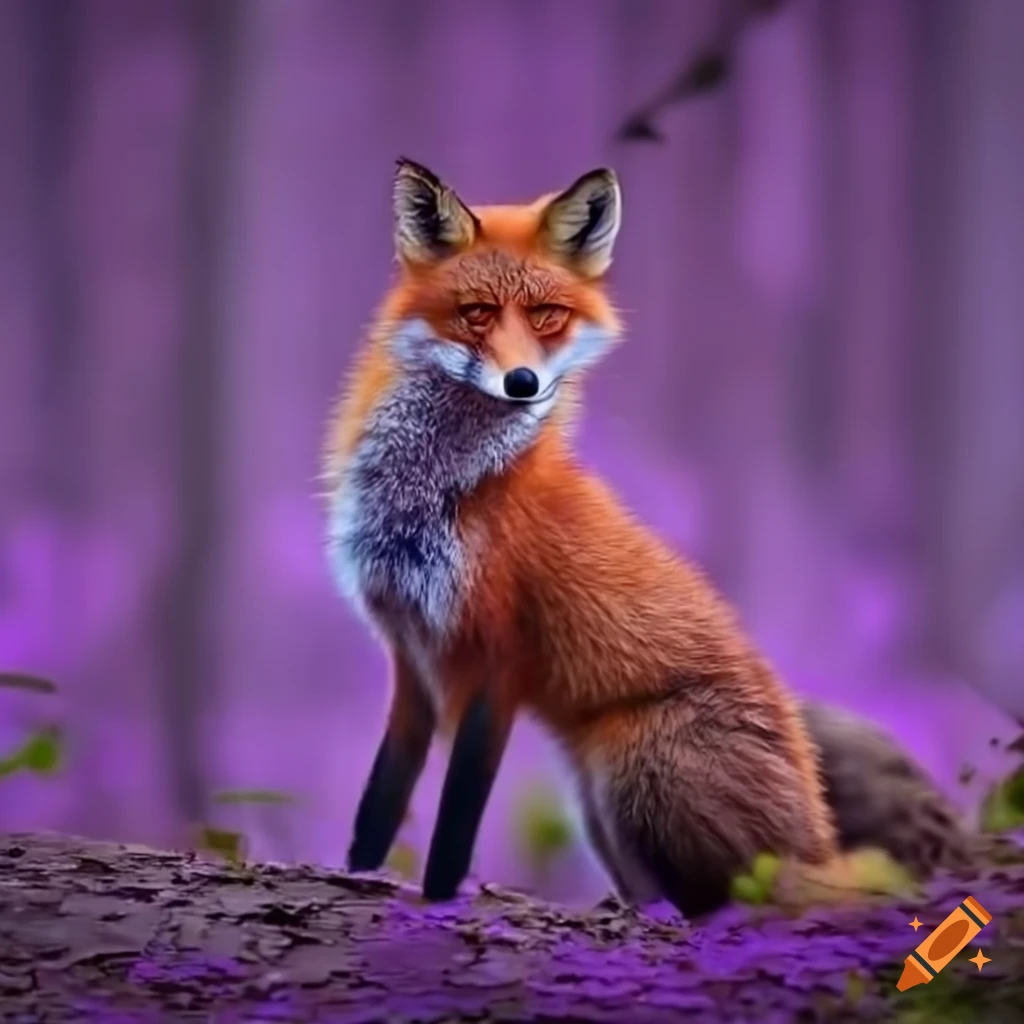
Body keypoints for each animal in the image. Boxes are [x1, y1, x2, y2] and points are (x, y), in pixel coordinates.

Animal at [323, 158, 968, 918]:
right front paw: (357, 875)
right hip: (596, 802)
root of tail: (813, 839)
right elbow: (382, 794)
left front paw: (439, 901)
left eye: (547, 317)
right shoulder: (409, 651)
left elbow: (458, 813)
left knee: (737, 898)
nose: (523, 382)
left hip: (628, 763)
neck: (439, 495)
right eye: (477, 313)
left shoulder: (499, 655)